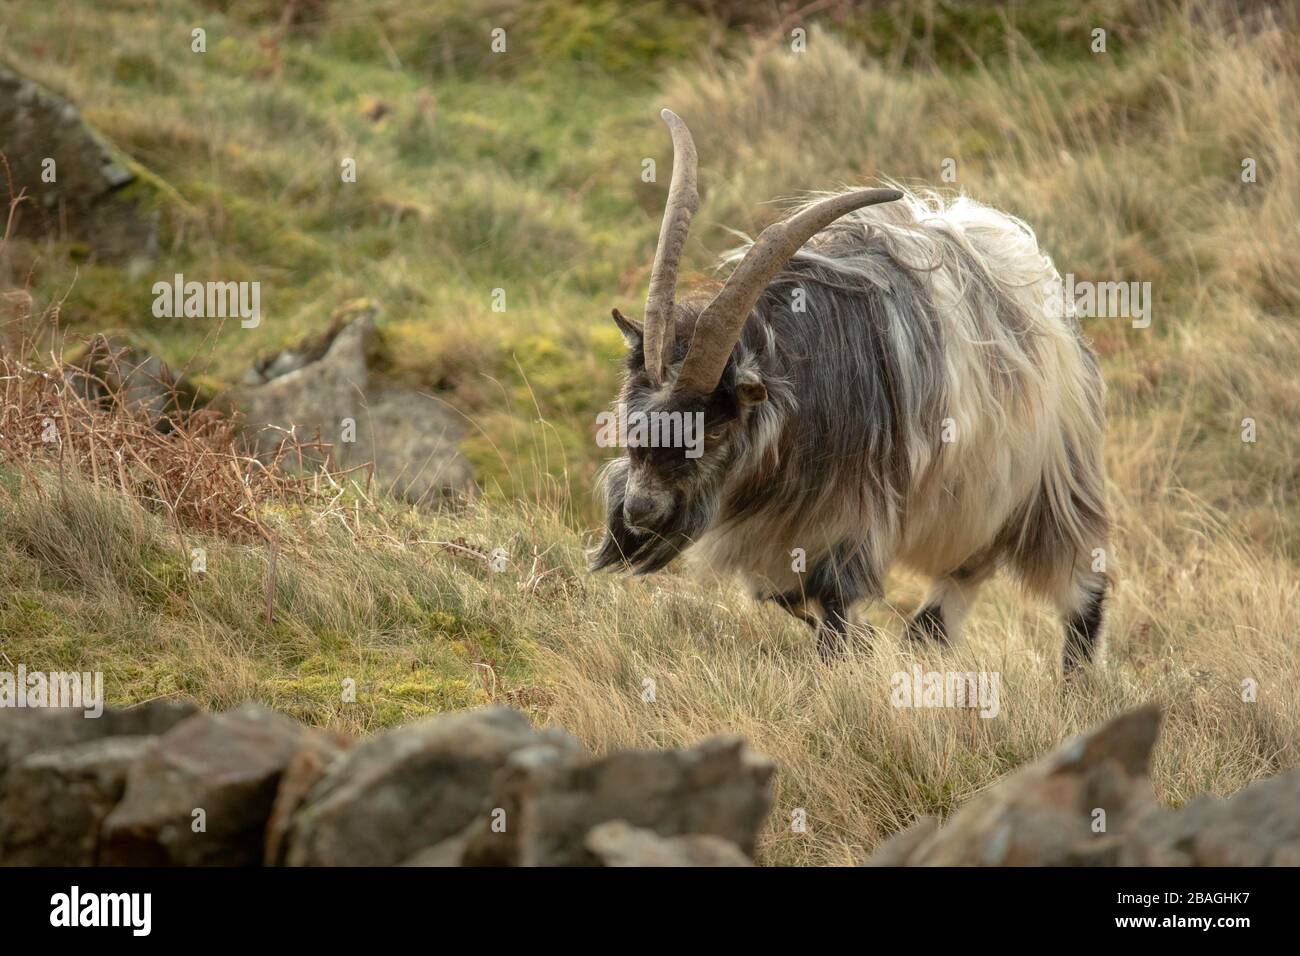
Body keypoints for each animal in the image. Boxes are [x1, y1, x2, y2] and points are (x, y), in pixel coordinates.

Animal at [592, 110, 1109, 669]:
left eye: (709, 432)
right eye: (633, 419)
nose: (639, 512)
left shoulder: (855, 510)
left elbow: (835, 599)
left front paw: (847, 650)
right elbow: (785, 594)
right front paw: (861, 640)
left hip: (1053, 478)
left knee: (1080, 583)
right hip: (983, 496)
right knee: (965, 573)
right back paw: (923, 636)